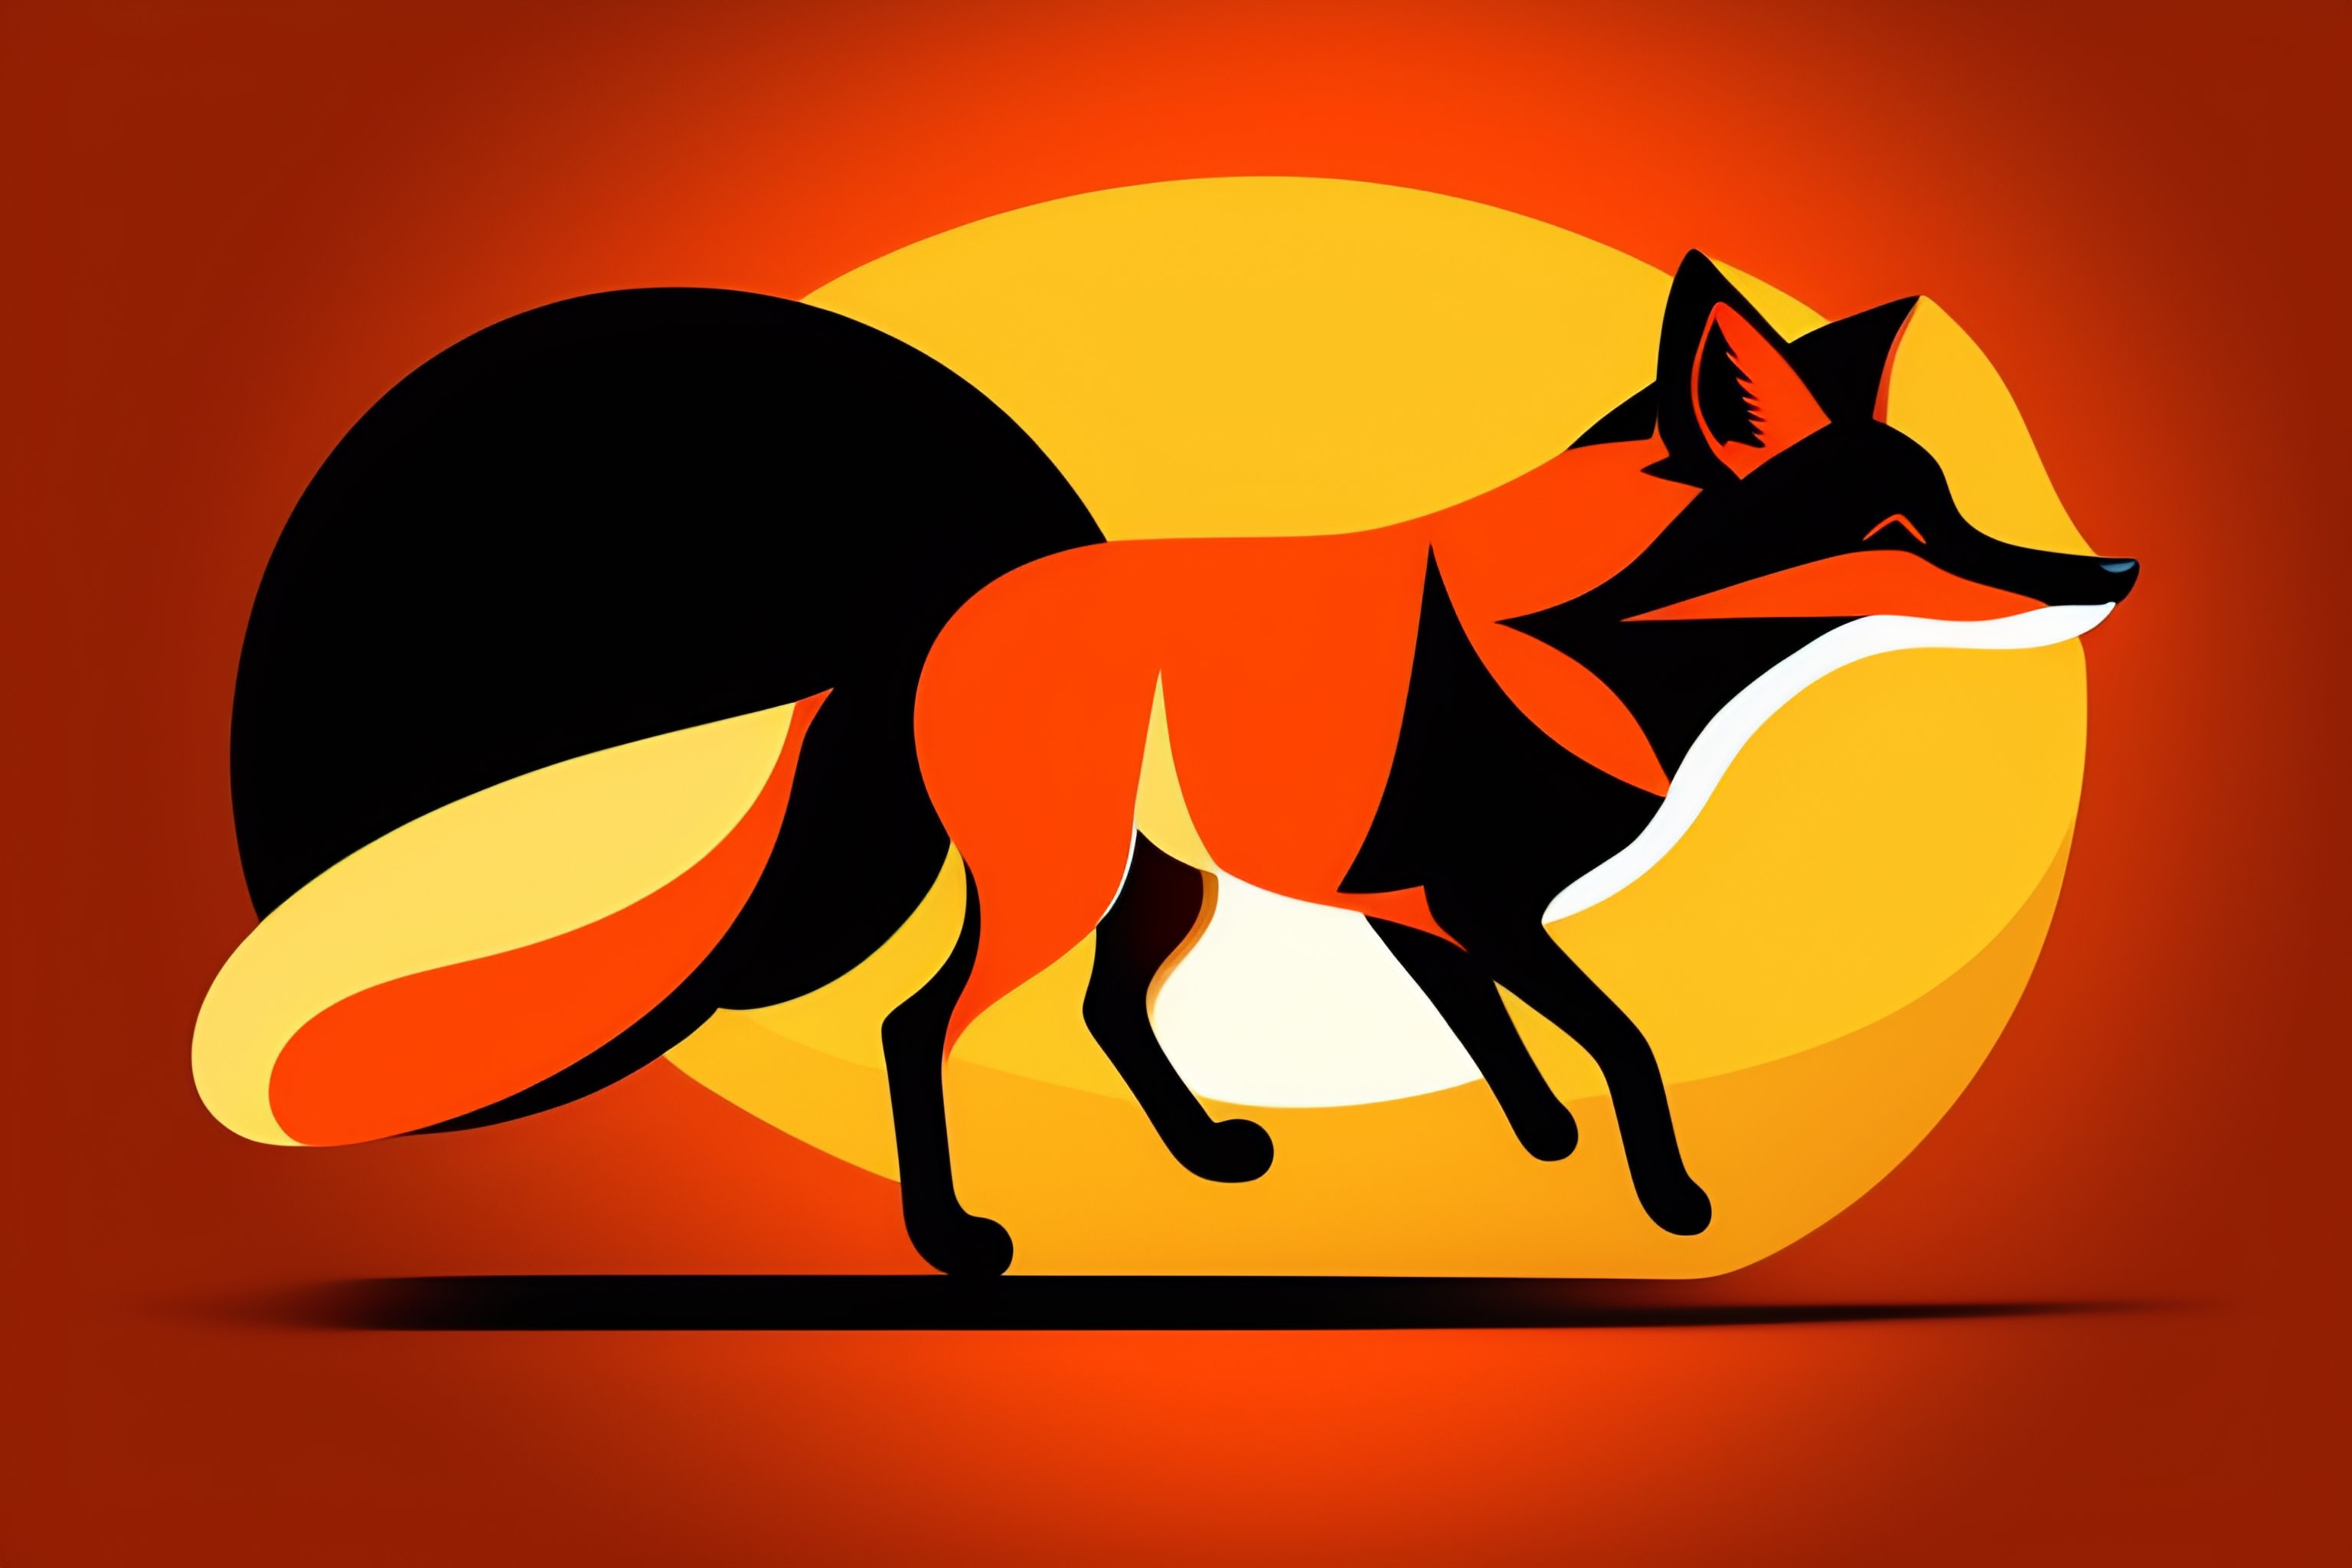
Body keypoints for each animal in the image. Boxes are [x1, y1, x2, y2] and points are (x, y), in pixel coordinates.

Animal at [203, 250, 2136, 1276]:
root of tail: (947, 611)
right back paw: (957, 1240)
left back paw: (1204, 1154)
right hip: (1059, 884)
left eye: (1951, 505)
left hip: (1163, 890)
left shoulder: (1415, 904)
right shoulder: (1485, 899)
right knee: (921, 1022)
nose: (2105, 576)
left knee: (1108, 1012)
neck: (1592, 637)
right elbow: (1622, 1037)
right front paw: (1659, 1190)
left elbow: (1502, 1038)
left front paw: (1535, 1142)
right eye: (1898, 528)